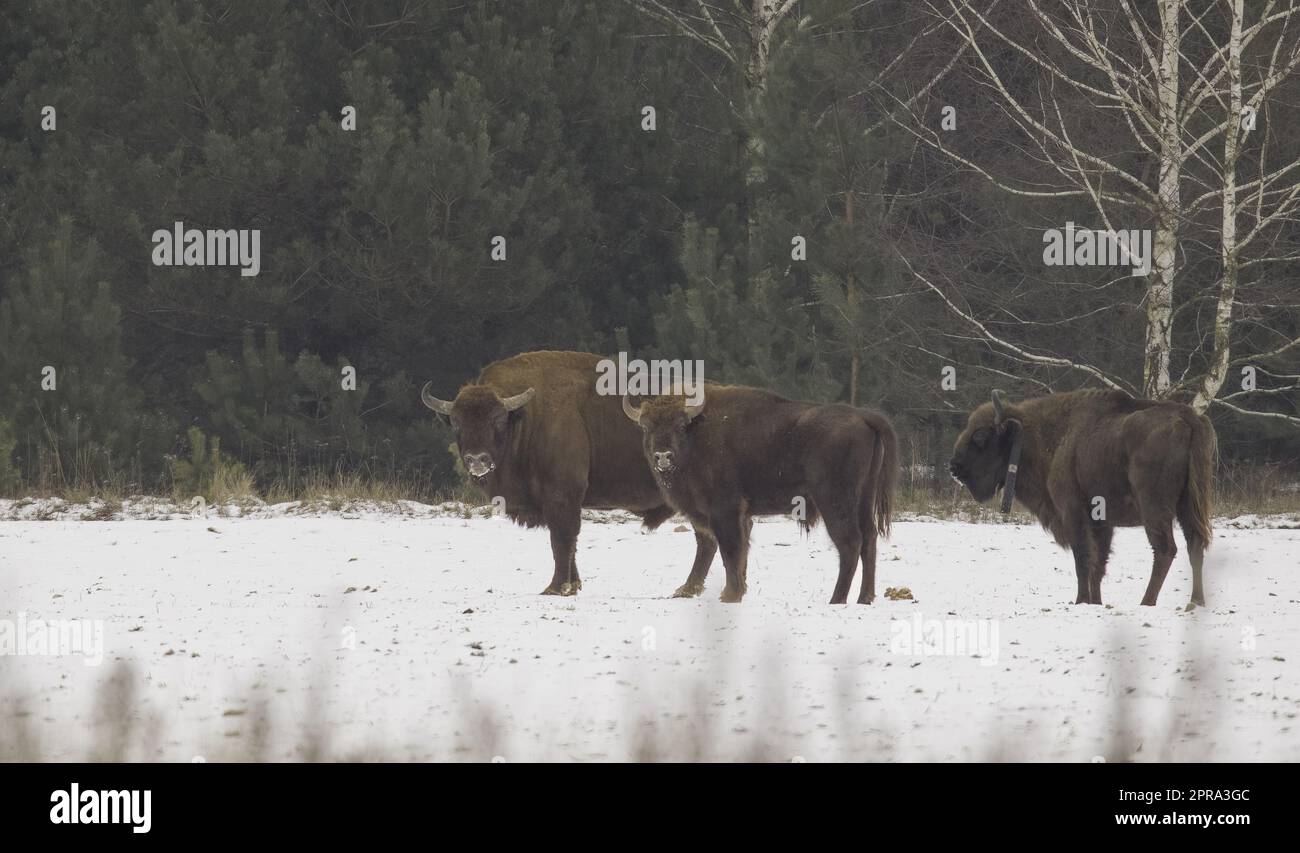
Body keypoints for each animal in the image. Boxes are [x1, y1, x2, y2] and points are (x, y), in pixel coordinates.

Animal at [421, 351, 714, 596]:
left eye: (498, 419)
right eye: (456, 422)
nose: (477, 459)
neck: (527, 418)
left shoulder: (562, 497)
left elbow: (561, 541)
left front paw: (555, 587)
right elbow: (569, 544)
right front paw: (572, 585)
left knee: (705, 540)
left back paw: (687, 589)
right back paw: (688, 589)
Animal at [623, 386, 898, 604]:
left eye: (680, 426)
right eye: (646, 427)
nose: (662, 457)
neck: (697, 432)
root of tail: (863, 415)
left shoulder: (725, 511)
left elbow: (730, 551)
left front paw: (730, 595)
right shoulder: (737, 516)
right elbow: (737, 552)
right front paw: (734, 592)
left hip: (835, 501)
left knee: (850, 543)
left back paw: (836, 600)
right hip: (864, 498)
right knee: (869, 540)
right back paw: (865, 598)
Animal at [949, 389, 1215, 608]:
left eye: (980, 436)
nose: (954, 468)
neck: (1048, 437)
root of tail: (1189, 419)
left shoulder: (1073, 512)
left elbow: (1083, 560)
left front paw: (1080, 601)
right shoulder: (1102, 523)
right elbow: (1098, 563)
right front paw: (1095, 602)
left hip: (1154, 508)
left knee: (1165, 549)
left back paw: (1146, 602)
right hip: (1188, 505)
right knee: (1195, 546)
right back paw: (1196, 602)